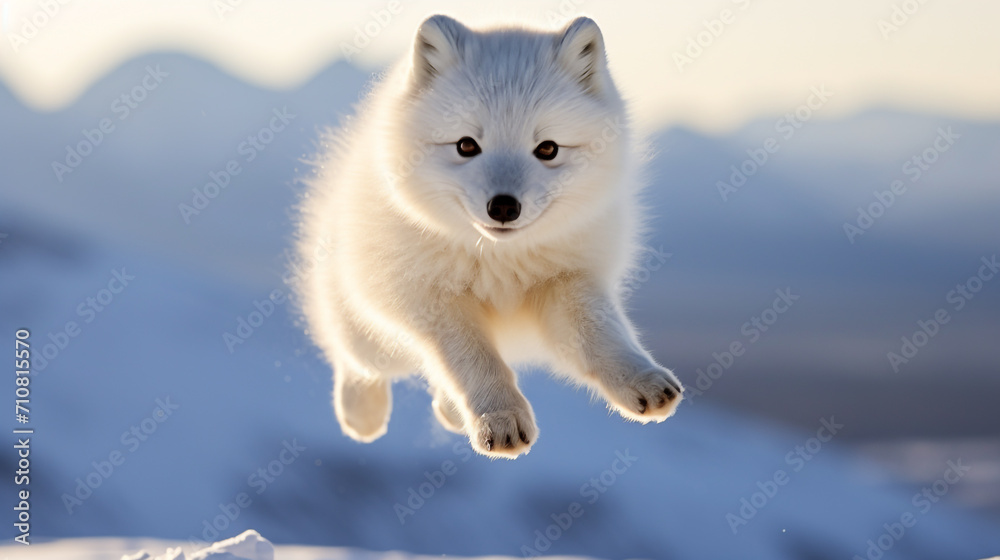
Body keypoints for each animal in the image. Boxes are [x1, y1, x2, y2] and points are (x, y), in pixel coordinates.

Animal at [294, 14, 683, 459]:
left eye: (547, 148)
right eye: (466, 145)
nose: (504, 207)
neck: (498, 259)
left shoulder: (569, 281)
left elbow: (602, 335)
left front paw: (641, 379)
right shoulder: (434, 301)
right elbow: (474, 361)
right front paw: (499, 419)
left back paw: (447, 413)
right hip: (372, 331)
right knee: (356, 361)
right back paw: (362, 416)